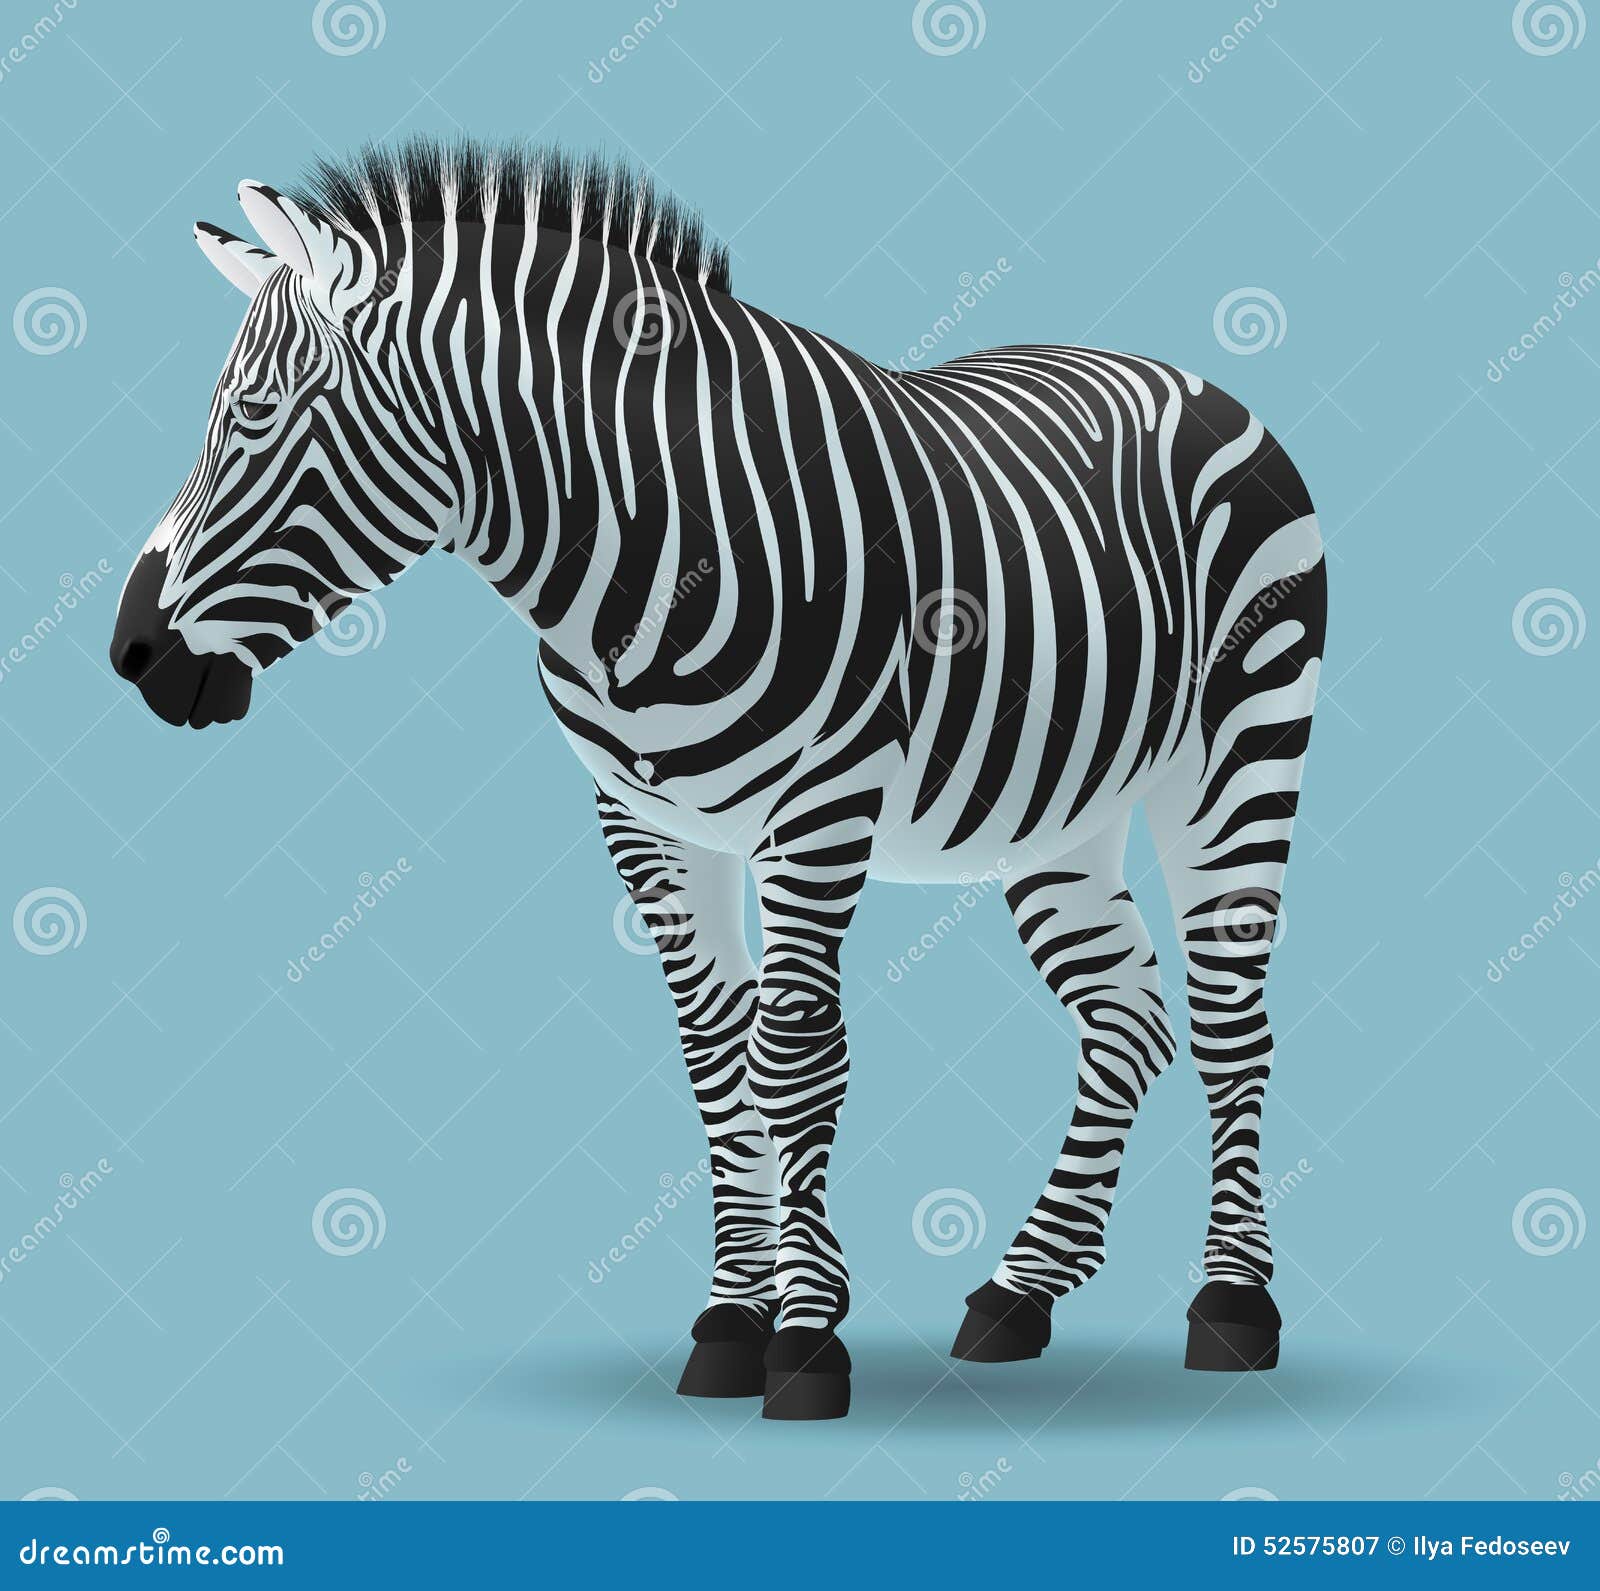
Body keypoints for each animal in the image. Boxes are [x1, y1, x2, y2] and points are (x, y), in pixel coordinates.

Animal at [110, 139, 1326, 1422]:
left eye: (250, 417)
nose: (132, 654)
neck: (634, 562)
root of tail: (1187, 376)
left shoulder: (821, 811)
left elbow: (792, 1055)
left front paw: (806, 1338)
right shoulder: (645, 822)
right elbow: (712, 1057)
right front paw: (732, 1319)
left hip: (1240, 746)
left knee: (1228, 1019)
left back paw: (1232, 1306)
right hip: (1056, 810)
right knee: (1127, 1015)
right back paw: (1019, 1290)